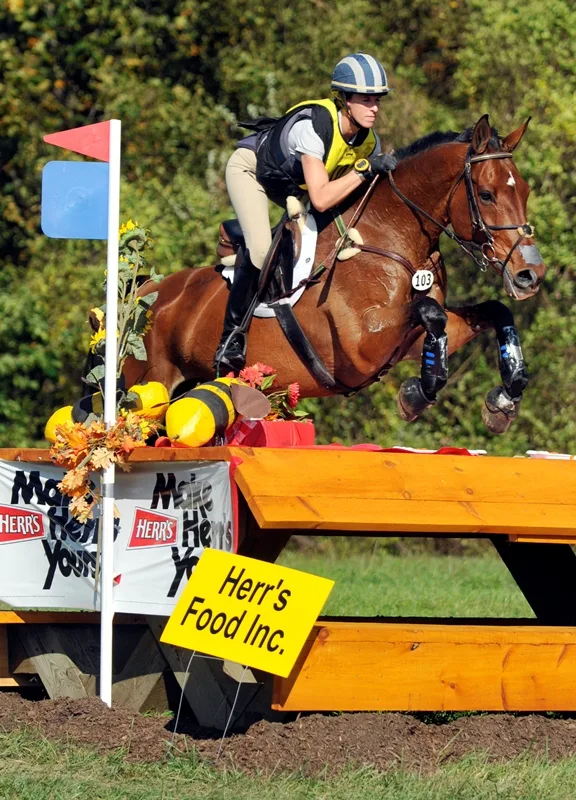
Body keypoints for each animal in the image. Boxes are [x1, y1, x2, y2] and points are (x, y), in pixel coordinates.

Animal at [124, 115, 547, 434]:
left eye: (524, 190)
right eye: (487, 194)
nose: (530, 275)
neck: (388, 235)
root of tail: (146, 294)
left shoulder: (409, 341)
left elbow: (489, 313)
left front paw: (504, 399)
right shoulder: (362, 346)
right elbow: (431, 314)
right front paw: (416, 394)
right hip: (146, 383)